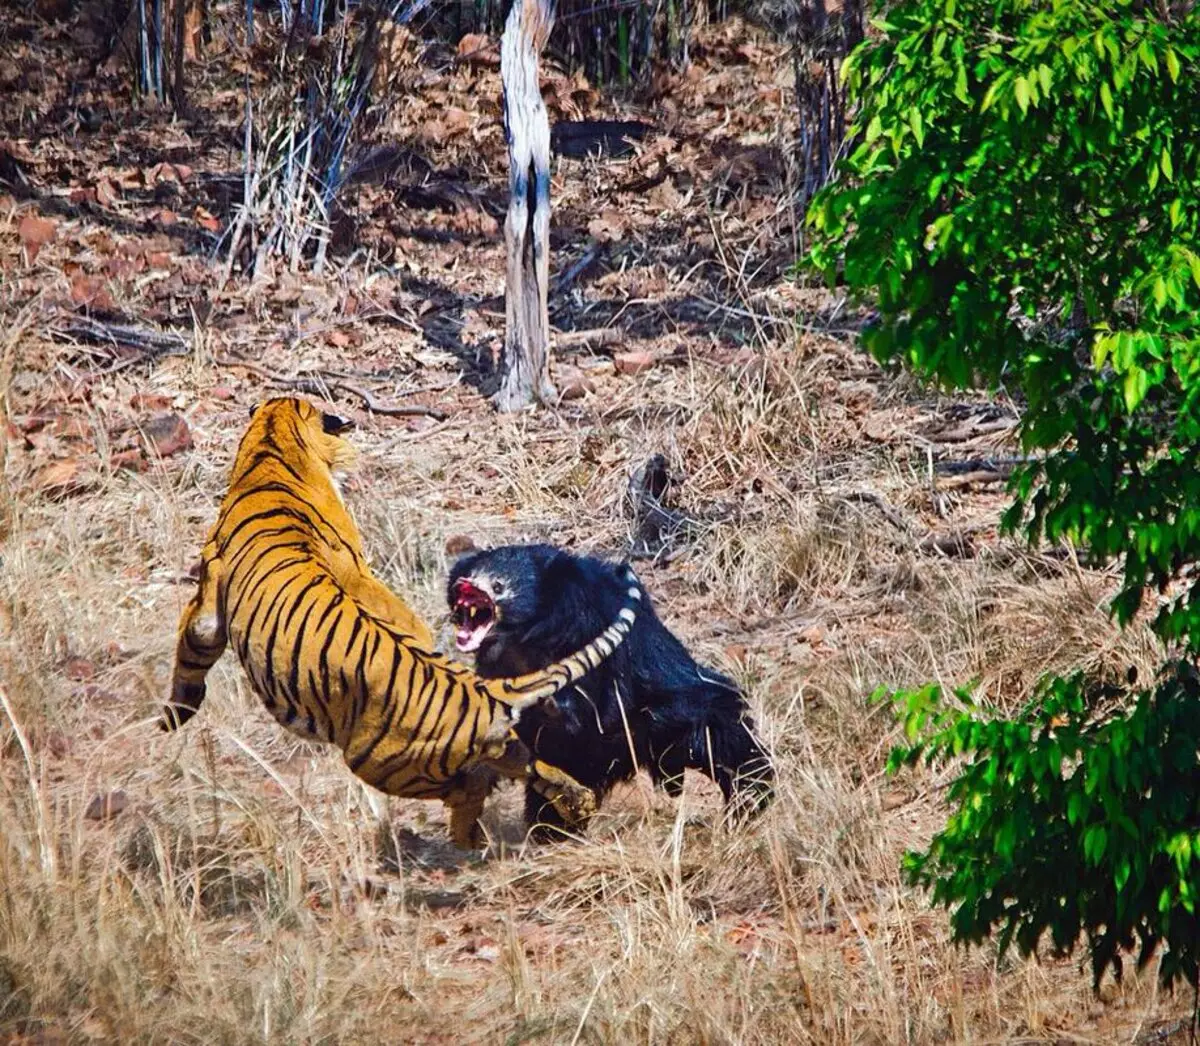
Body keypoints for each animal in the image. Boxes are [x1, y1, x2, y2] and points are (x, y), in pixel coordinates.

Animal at [166, 395, 648, 844]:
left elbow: (193, 647)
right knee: (531, 766)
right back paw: (575, 803)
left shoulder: (208, 600)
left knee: (470, 786)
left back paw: (467, 837)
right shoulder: (358, 571)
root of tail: (483, 690)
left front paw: (175, 715)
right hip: (494, 748)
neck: (274, 445)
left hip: (377, 761)